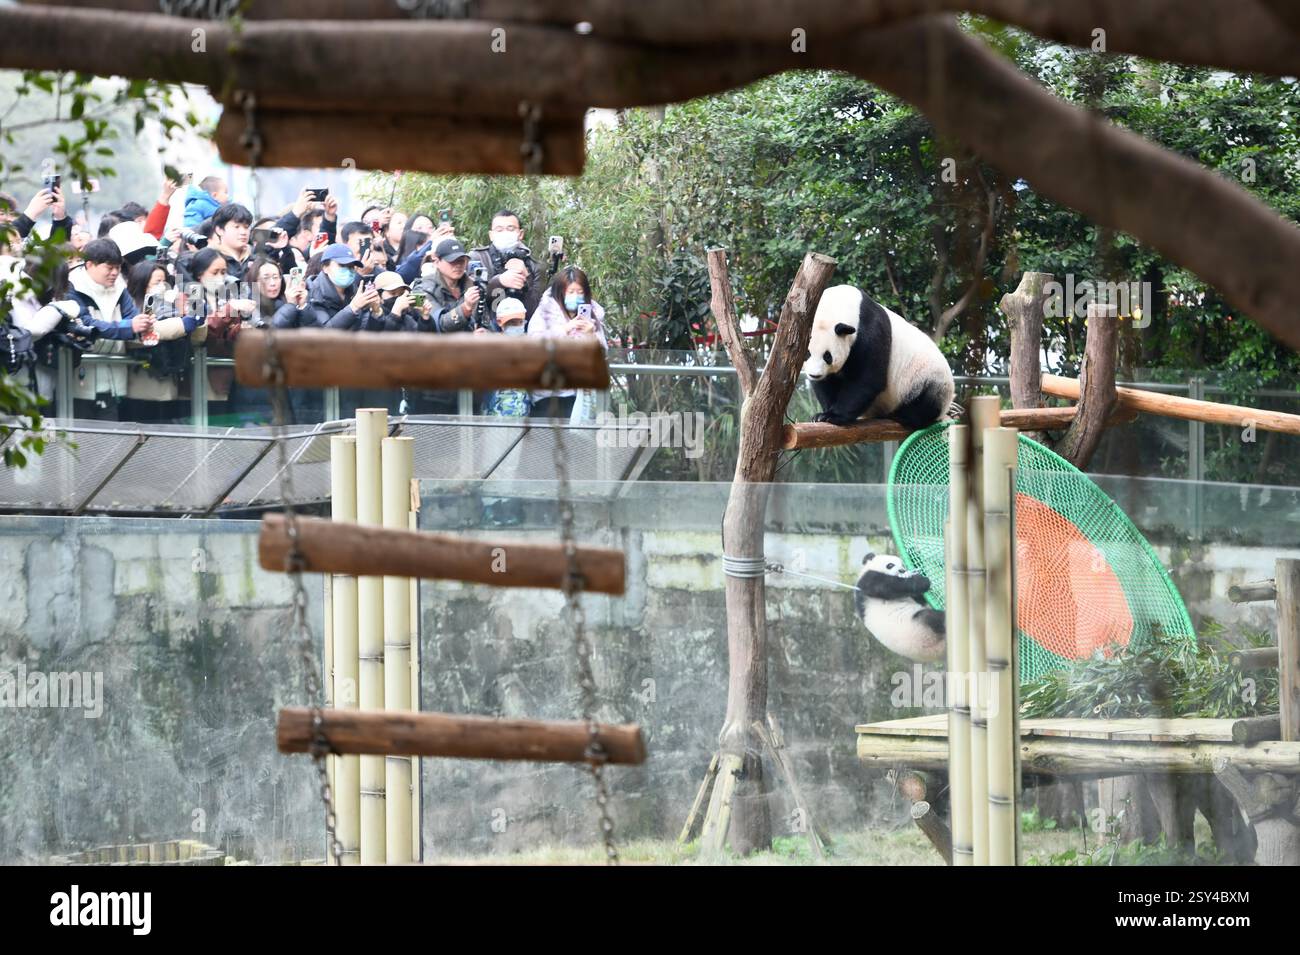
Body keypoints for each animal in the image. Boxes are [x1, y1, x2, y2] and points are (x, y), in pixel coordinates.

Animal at [803, 285, 955, 428]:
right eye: (807, 353)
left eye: (827, 356)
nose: (814, 374)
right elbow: (826, 383)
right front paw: (822, 415)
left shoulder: (869, 331)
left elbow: (867, 379)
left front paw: (833, 416)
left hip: (927, 377)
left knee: (925, 402)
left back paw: (901, 416)